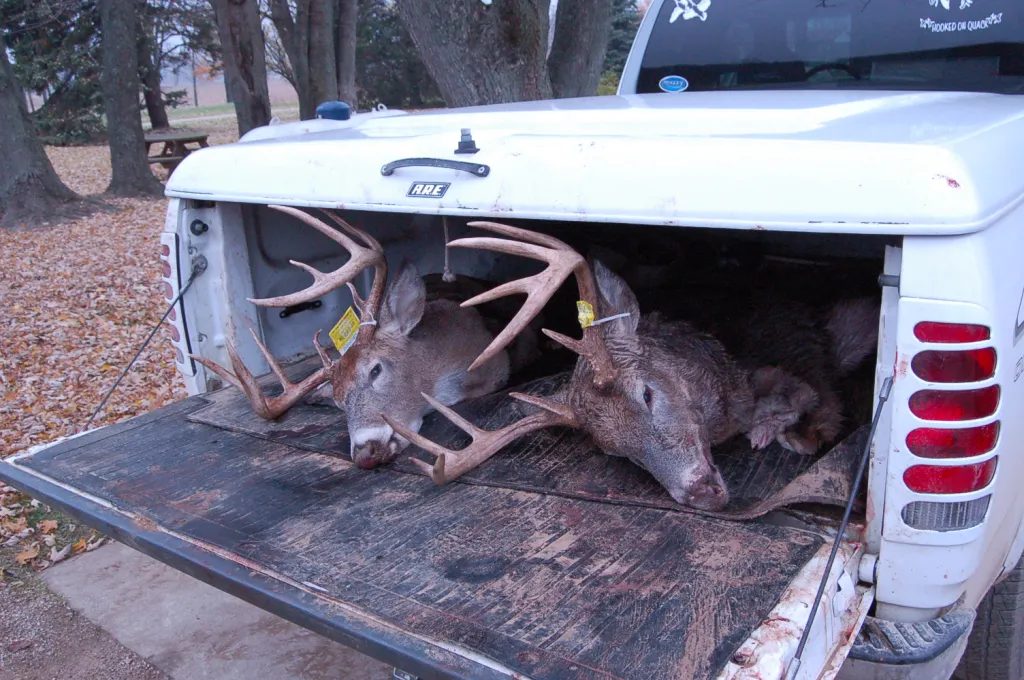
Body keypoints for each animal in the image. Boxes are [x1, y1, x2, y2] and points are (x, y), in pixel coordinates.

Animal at [382, 221, 878, 512]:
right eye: (615, 451)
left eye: (647, 392)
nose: (699, 492)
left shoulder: (794, 354)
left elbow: (812, 401)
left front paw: (777, 429)